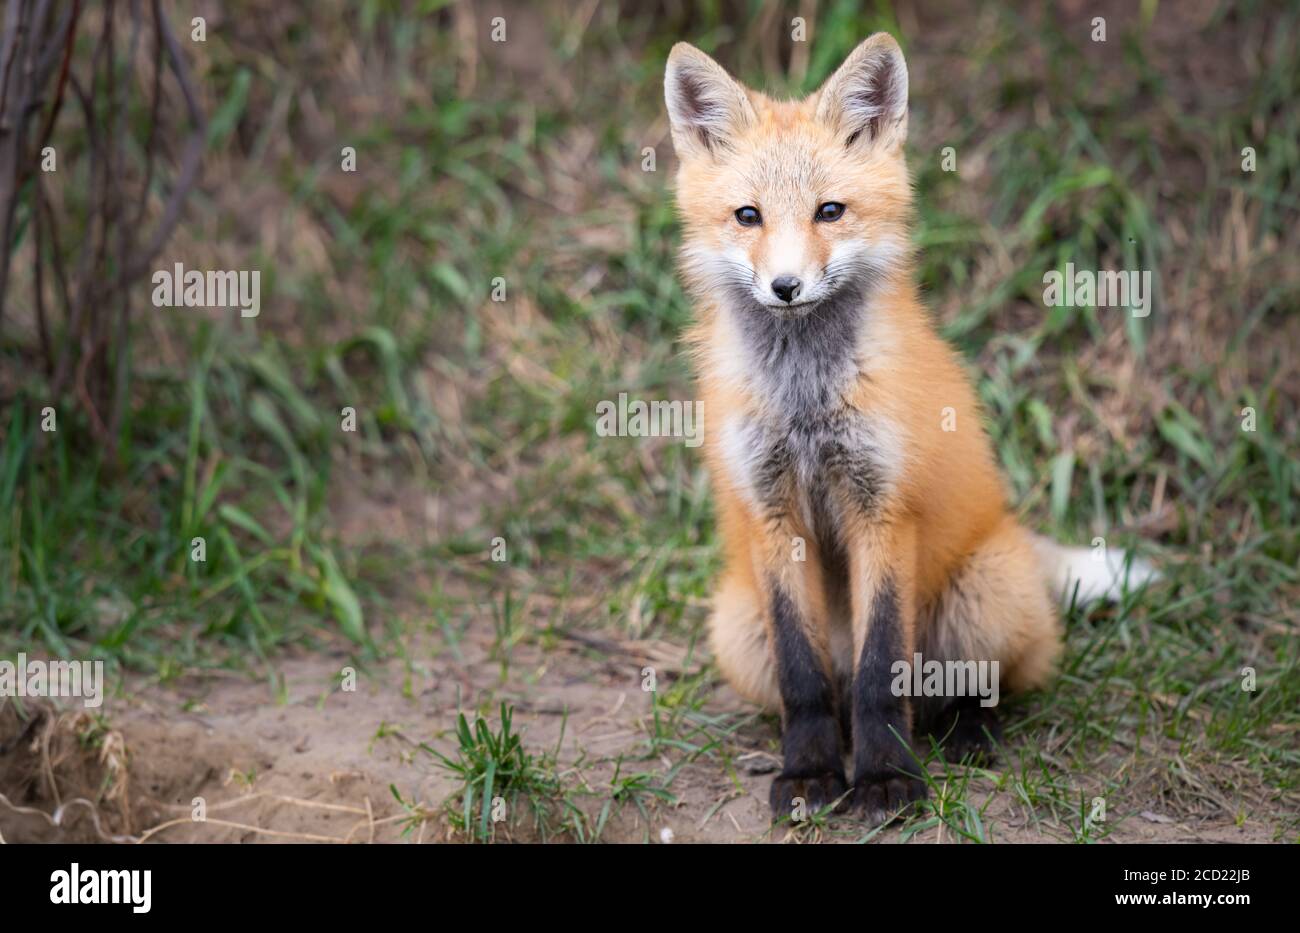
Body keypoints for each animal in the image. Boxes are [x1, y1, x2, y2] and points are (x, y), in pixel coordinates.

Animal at [663, 34, 1155, 824]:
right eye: (748, 216)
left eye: (830, 210)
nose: (786, 287)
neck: (807, 402)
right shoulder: (772, 515)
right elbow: (805, 680)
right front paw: (810, 774)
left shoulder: (884, 512)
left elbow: (879, 672)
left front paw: (888, 782)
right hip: (737, 627)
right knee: (826, 687)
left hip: (982, 597)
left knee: (976, 686)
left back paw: (966, 735)